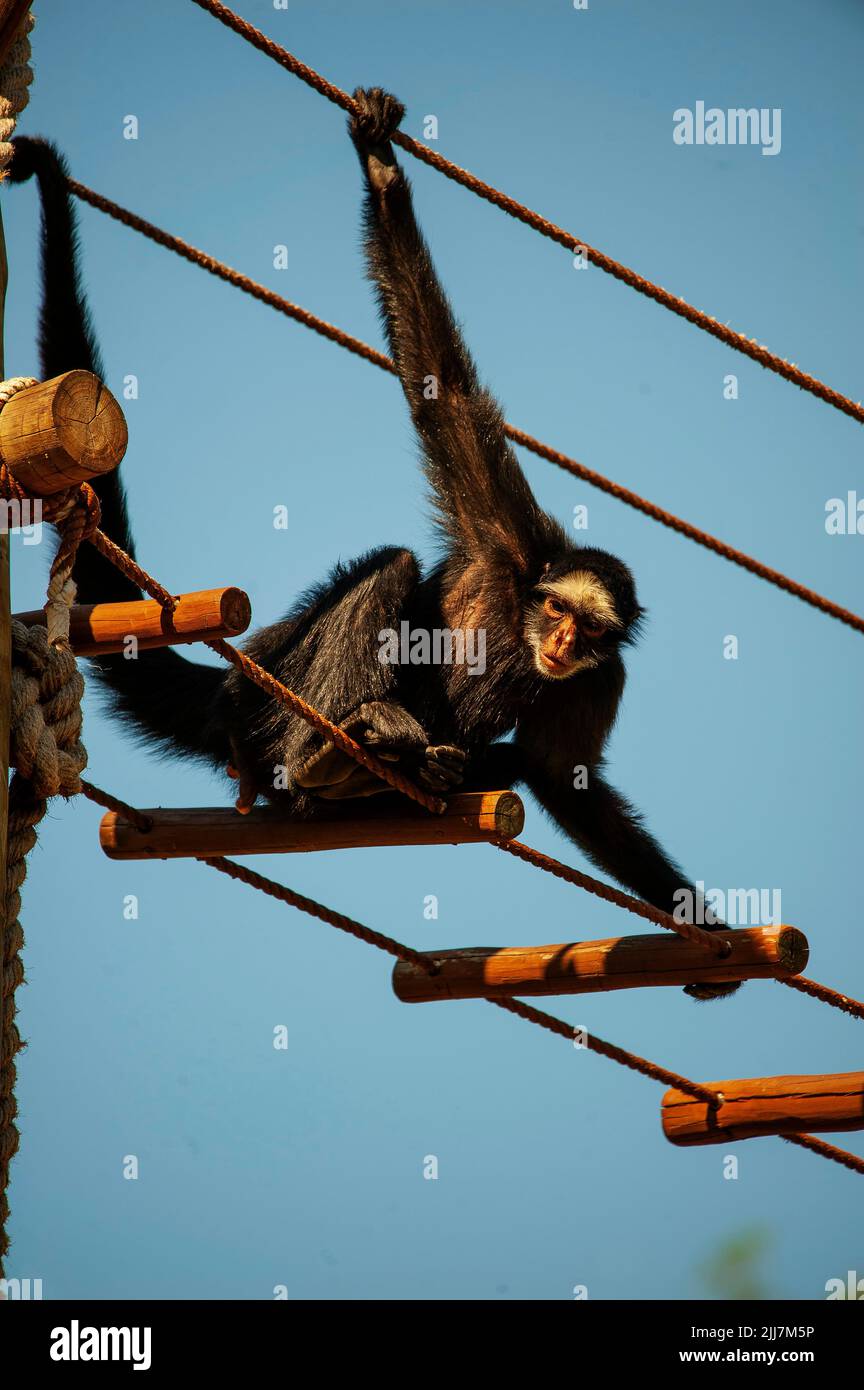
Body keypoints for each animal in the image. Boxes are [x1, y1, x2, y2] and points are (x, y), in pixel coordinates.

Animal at [10, 113, 737, 1001]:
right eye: (558, 609)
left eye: (592, 630)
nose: (565, 640)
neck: (525, 606)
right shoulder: (509, 534)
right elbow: (443, 393)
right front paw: (384, 171)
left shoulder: (605, 677)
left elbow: (564, 774)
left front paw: (711, 935)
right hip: (272, 701)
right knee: (389, 568)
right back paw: (323, 756)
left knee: (495, 758)